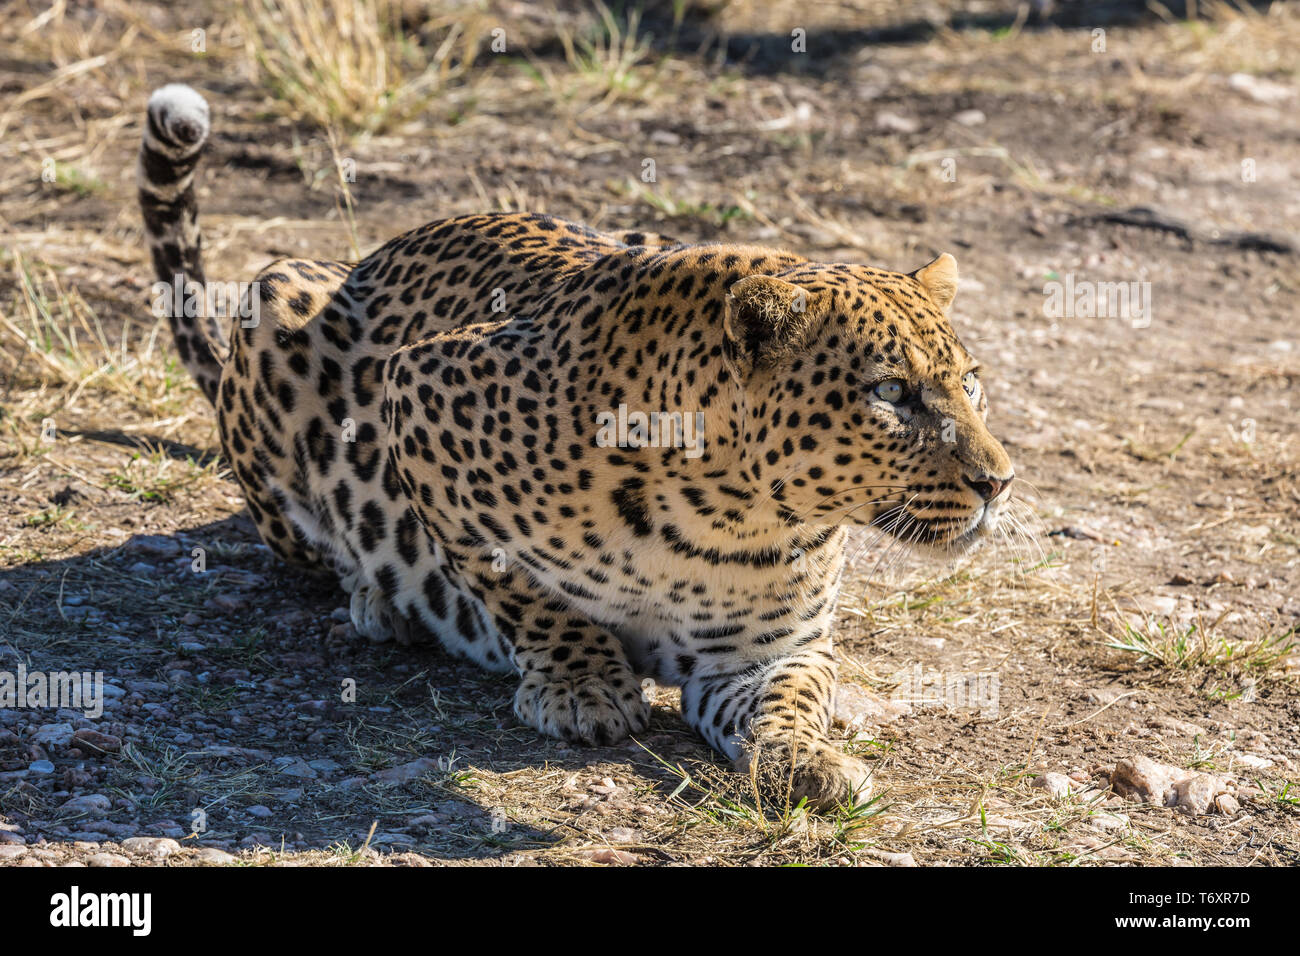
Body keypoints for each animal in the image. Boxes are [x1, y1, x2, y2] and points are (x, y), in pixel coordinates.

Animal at [139, 83, 1015, 810]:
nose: (1000, 482)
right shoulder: (420, 395)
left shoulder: (762, 654)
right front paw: (582, 684)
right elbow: (518, 586)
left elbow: (792, 699)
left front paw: (809, 762)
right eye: (891, 393)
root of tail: (365, 256)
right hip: (279, 300)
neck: (730, 515)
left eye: (971, 382)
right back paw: (381, 600)